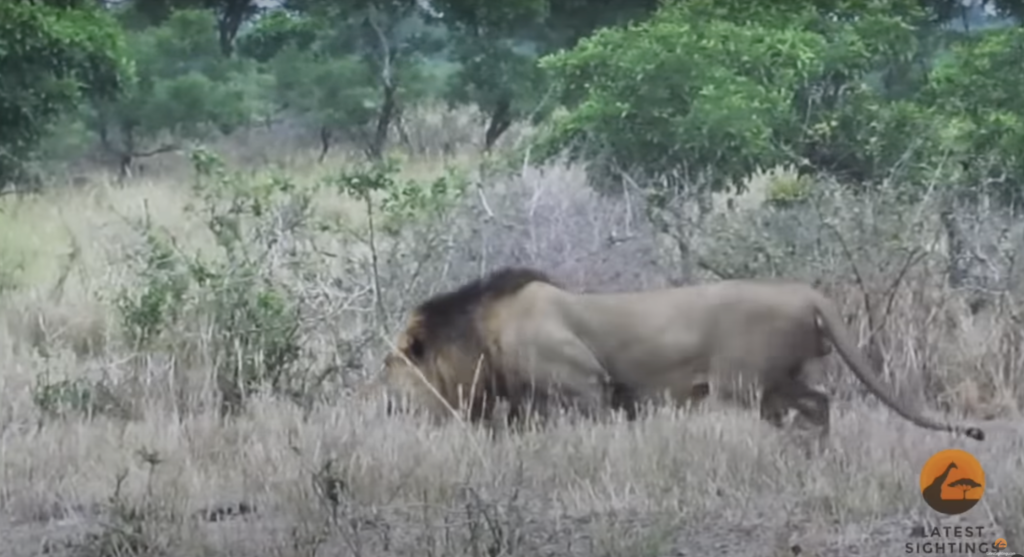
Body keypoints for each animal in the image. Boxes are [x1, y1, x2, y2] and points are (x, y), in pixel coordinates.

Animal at [380, 267, 985, 442]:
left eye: (392, 367)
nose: (384, 402)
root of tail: (806, 293)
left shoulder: (585, 386)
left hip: (738, 387)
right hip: (778, 383)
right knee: (820, 403)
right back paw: (815, 455)